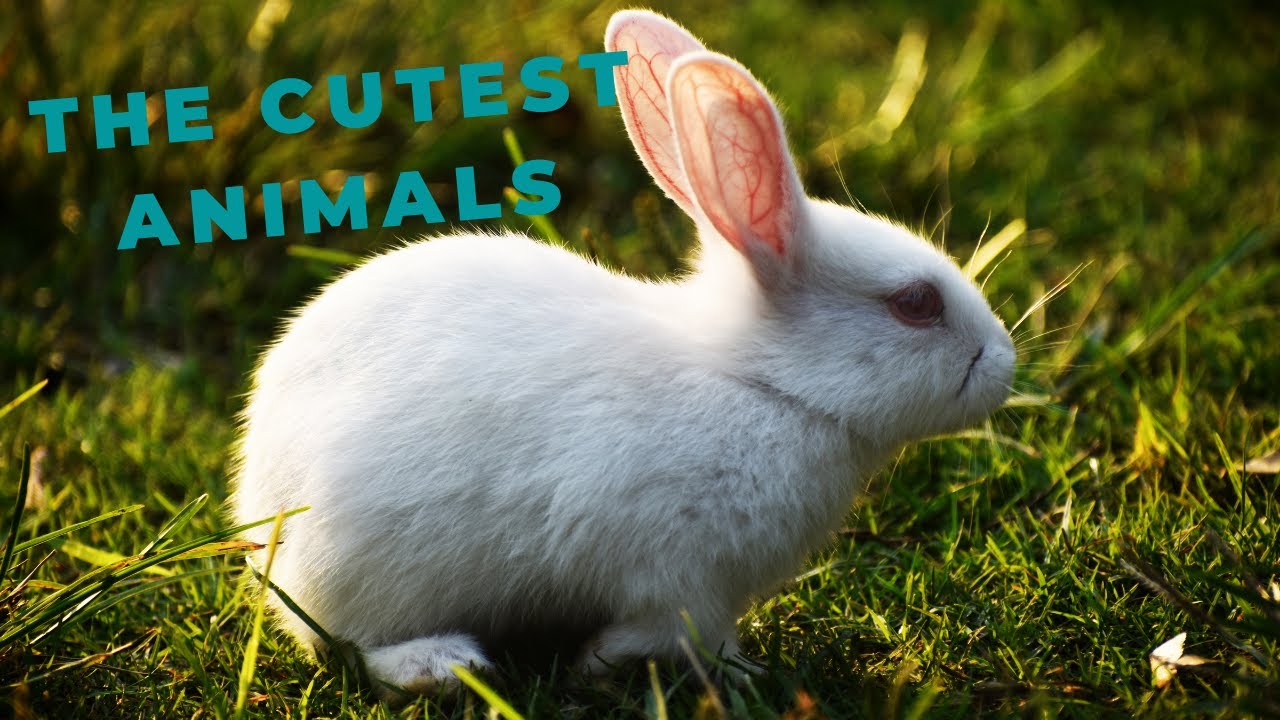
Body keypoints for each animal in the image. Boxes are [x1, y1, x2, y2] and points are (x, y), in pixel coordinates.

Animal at [231, 9, 1016, 697]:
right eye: (915, 303)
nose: (1005, 363)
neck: (762, 384)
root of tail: (258, 500)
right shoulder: (684, 578)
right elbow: (683, 634)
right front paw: (690, 670)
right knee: (350, 643)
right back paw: (442, 665)